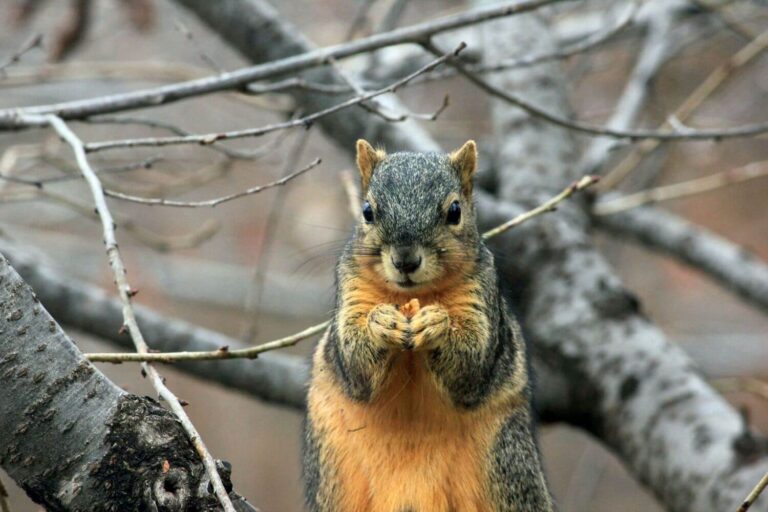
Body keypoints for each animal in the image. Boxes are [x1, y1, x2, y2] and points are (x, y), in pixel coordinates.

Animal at [302, 139, 555, 512]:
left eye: (455, 211)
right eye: (367, 211)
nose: (406, 260)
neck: (414, 296)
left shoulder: (481, 296)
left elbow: (472, 365)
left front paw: (438, 325)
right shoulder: (351, 291)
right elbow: (354, 363)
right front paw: (381, 323)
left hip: (506, 464)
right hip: (331, 474)